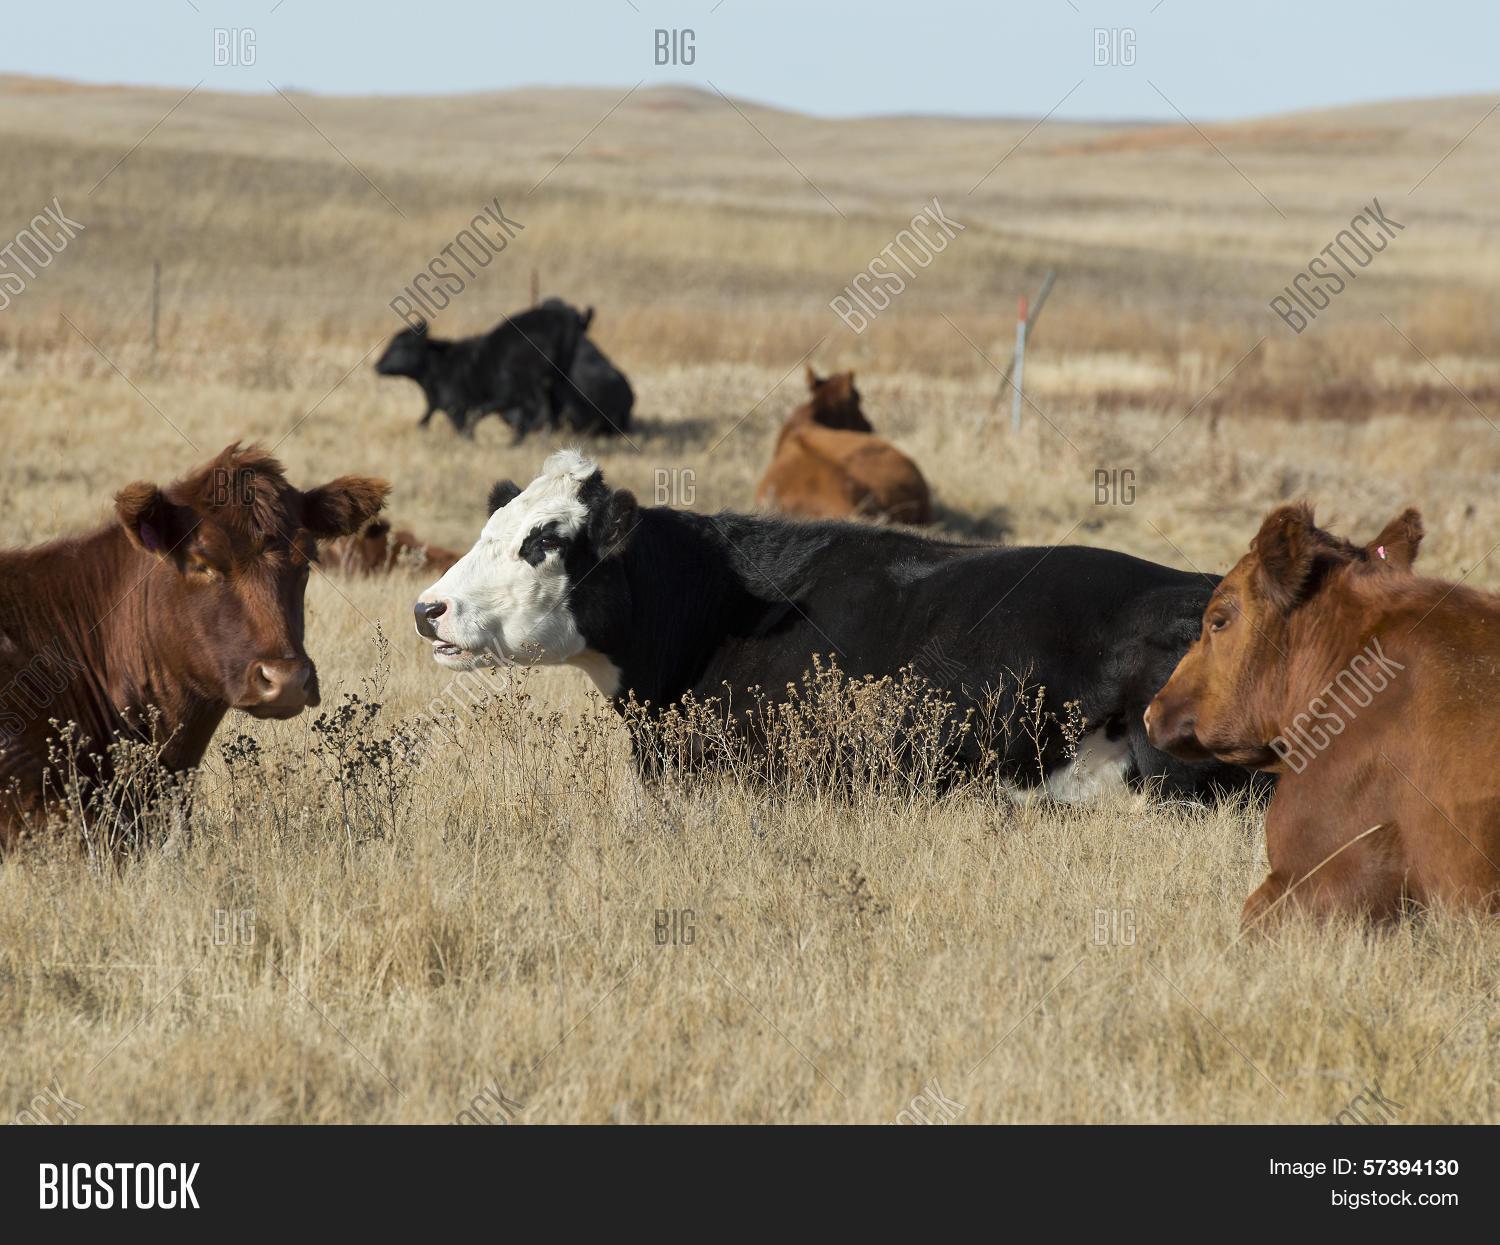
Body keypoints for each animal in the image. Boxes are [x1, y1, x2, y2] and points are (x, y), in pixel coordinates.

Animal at [375, 302, 590, 439]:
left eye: (401, 346)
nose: (377, 365)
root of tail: (566, 316)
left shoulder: (457, 407)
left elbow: (466, 428)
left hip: (535, 382)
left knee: (543, 412)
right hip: (558, 380)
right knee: (552, 413)